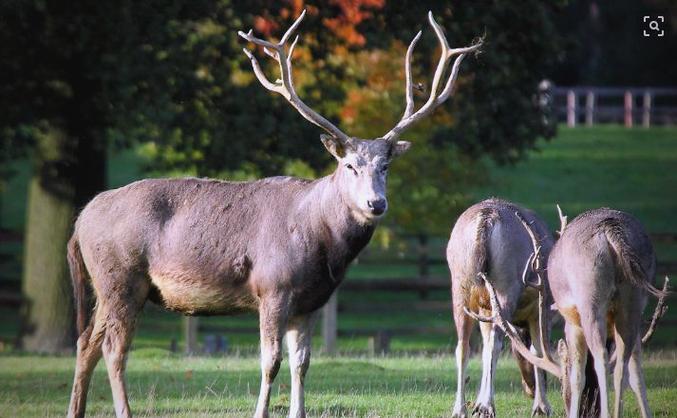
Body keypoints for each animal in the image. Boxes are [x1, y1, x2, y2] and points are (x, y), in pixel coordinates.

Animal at [65, 10, 483, 418]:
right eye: (349, 165)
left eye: (386, 165)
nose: (375, 204)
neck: (323, 245)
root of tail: (81, 220)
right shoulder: (273, 286)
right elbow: (271, 361)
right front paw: (261, 411)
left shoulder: (312, 301)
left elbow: (302, 362)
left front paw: (298, 410)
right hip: (120, 277)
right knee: (113, 349)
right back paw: (122, 410)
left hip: (107, 286)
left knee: (86, 341)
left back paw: (76, 409)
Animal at [447, 198, 555, 417]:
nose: (529, 390)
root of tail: (486, 220)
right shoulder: (542, 308)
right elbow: (538, 349)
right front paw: (542, 406)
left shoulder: (485, 310)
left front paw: (477, 403)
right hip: (506, 285)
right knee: (495, 343)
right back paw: (487, 406)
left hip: (460, 288)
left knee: (463, 346)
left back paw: (460, 408)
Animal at [473, 207, 670, 418]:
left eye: (561, 386)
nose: (587, 411)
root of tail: (611, 232)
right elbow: (635, 372)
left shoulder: (572, 323)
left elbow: (577, 376)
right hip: (633, 301)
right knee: (622, 366)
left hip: (589, 299)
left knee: (601, 357)